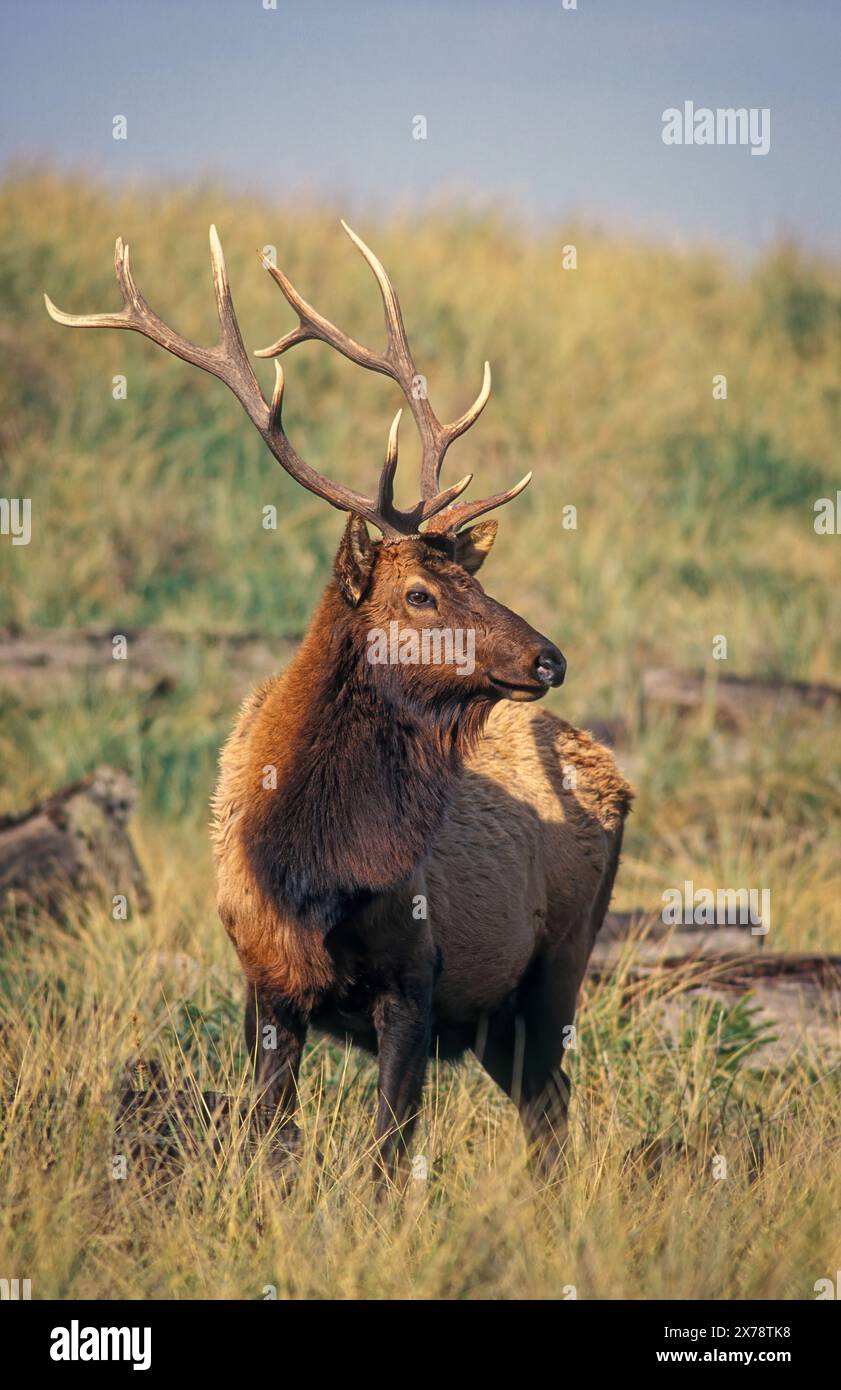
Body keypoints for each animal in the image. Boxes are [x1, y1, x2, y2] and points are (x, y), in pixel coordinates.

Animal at [45, 224, 632, 1182]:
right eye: (419, 595)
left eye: (475, 579)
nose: (548, 656)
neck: (308, 874)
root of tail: (611, 769)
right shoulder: (263, 984)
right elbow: (271, 1138)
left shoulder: (419, 974)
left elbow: (387, 1155)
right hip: (499, 1017)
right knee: (544, 1112)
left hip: (559, 963)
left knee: (553, 1113)